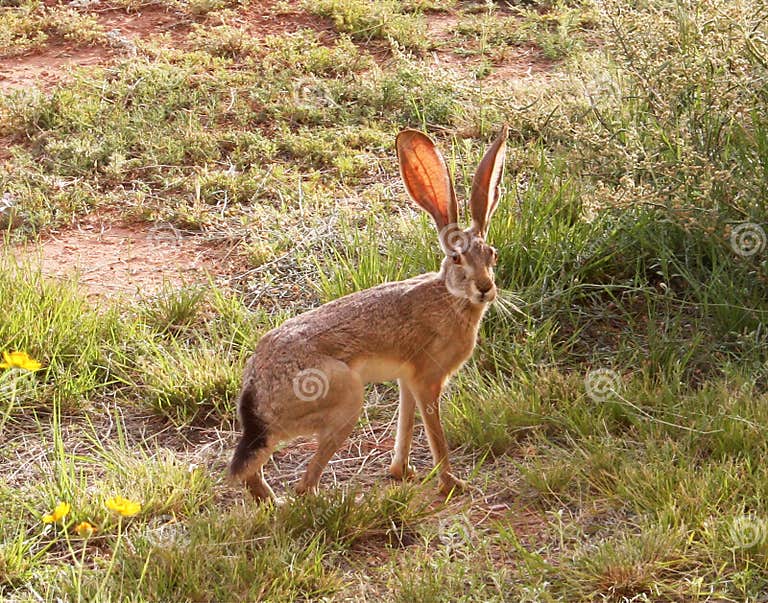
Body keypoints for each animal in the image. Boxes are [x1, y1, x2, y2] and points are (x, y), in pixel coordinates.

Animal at [229, 125, 508, 501]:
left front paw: (402, 471)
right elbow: (435, 433)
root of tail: (256, 396)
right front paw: (452, 483)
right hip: (346, 399)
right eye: (456, 258)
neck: (450, 297)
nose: (485, 288)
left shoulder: (408, 379)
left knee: (253, 472)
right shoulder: (427, 379)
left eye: (492, 253)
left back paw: (274, 501)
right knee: (301, 484)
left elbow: (406, 422)